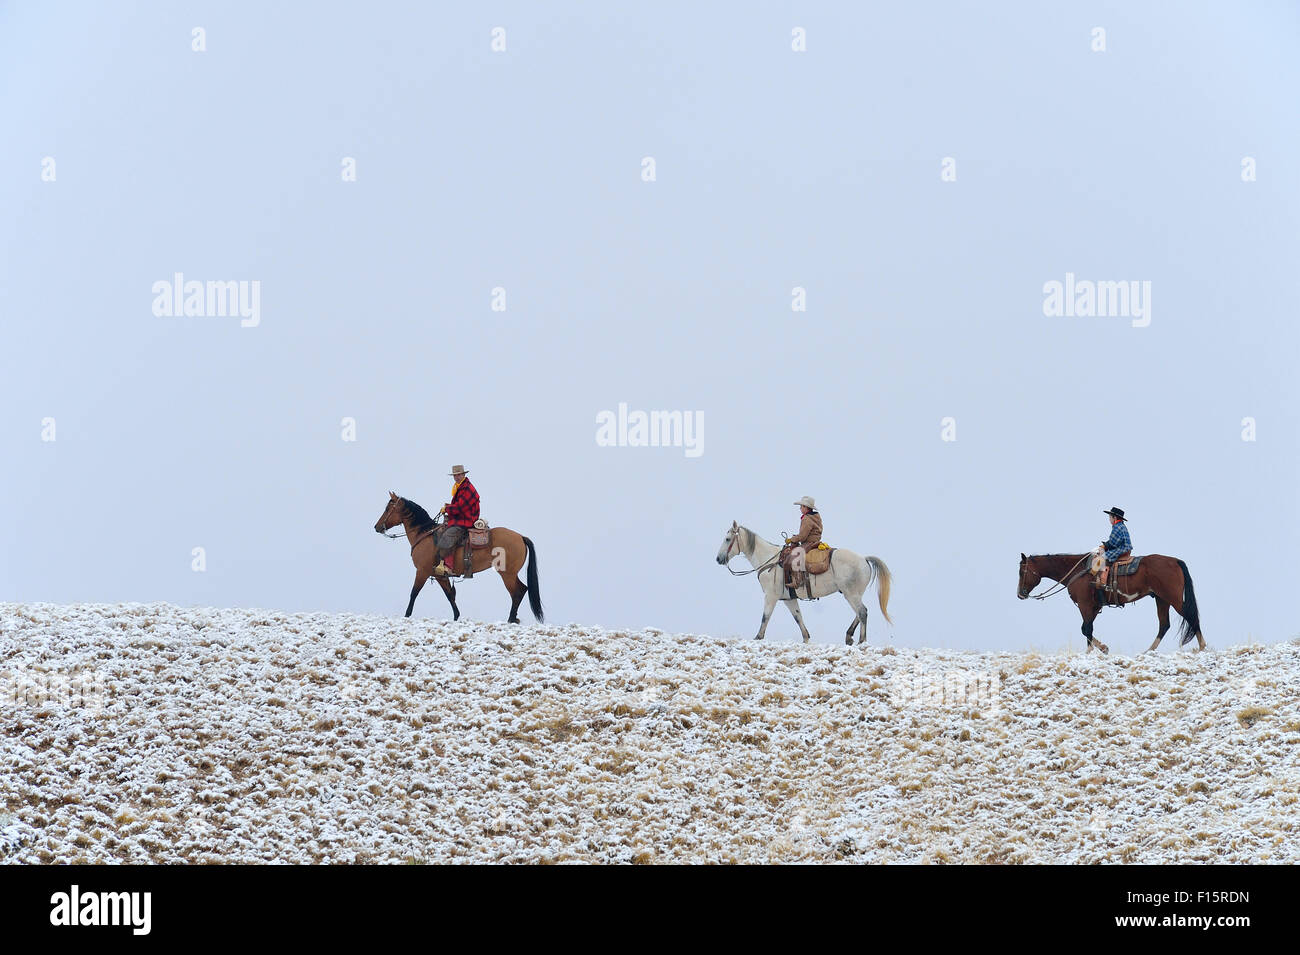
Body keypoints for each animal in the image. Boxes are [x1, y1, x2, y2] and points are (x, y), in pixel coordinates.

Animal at [374, 492, 543, 623]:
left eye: (388, 508)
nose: (376, 527)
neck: (424, 533)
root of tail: (520, 537)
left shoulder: (422, 571)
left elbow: (414, 592)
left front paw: (407, 615)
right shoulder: (440, 575)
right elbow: (450, 595)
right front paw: (456, 616)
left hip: (507, 574)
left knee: (517, 592)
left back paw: (511, 619)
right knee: (521, 590)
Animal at [716, 521, 892, 645]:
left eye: (727, 539)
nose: (718, 559)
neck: (770, 561)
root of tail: (864, 559)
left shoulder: (771, 596)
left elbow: (765, 617)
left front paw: (758, 637)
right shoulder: (789, 599)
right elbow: (798, 617)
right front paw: (806, 638)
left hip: (851, 594)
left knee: (862, 612)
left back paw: (862, 641)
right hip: (852, 594)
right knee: (861, 612)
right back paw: (849, 636)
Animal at [1017, 552, 1204, 654]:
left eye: (1021, 571)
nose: (1020, 594)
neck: (1080, 571)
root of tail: (1175, 561)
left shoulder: (1085, 604)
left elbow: (1086, 628)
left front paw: (1099, 650)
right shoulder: (1094, 606)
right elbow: (1087, 629)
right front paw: (1094, 650)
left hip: (1173, 598)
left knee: (1191, 617)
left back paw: (1202, 647)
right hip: (1161, 599)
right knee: (1164, 624)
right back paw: (1148, 651)